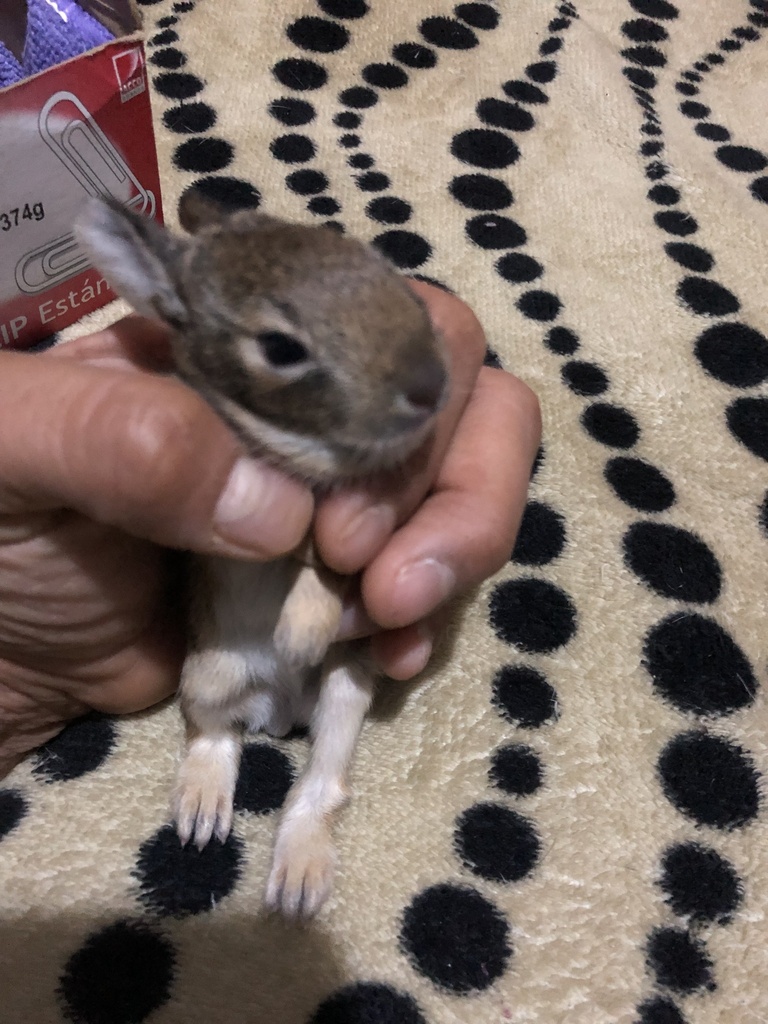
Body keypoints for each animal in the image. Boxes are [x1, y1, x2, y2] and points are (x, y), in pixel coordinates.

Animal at [75, 192, 448, 918]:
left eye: (382, 269)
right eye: (280, 347)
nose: (433, 385)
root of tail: (278, 712)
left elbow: (328, 559)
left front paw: (300, 634)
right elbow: (298, 546)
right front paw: (298, 633)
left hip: (344, 695)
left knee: (321, 784)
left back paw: (297, 881)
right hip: (206, 675)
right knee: (213, 736)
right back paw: (202, 817)